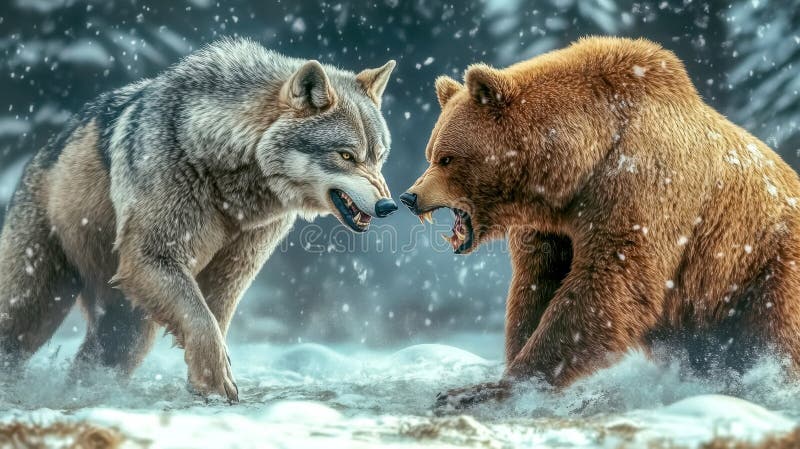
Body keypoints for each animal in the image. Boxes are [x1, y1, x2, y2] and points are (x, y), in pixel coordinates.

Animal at [0, 38, 397, 401]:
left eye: (378, 157)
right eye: (346, 155)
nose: (388, 206)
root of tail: (37, 156)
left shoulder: (233, 269)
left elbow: (214, 321)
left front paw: (205, 387)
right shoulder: (153, 257)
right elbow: (202, 322)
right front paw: (217, 384)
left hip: (129, 327)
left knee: (90, 368)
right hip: (33, 304)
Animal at [399, 36, 800, 410]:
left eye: (447, 158)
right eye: (431, 152)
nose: (409, 196)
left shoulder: (640, 185)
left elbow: (609, 282)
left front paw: (491, 388)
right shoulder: (554, 226)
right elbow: (537, 284)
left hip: (763, 264)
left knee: (776, 330)